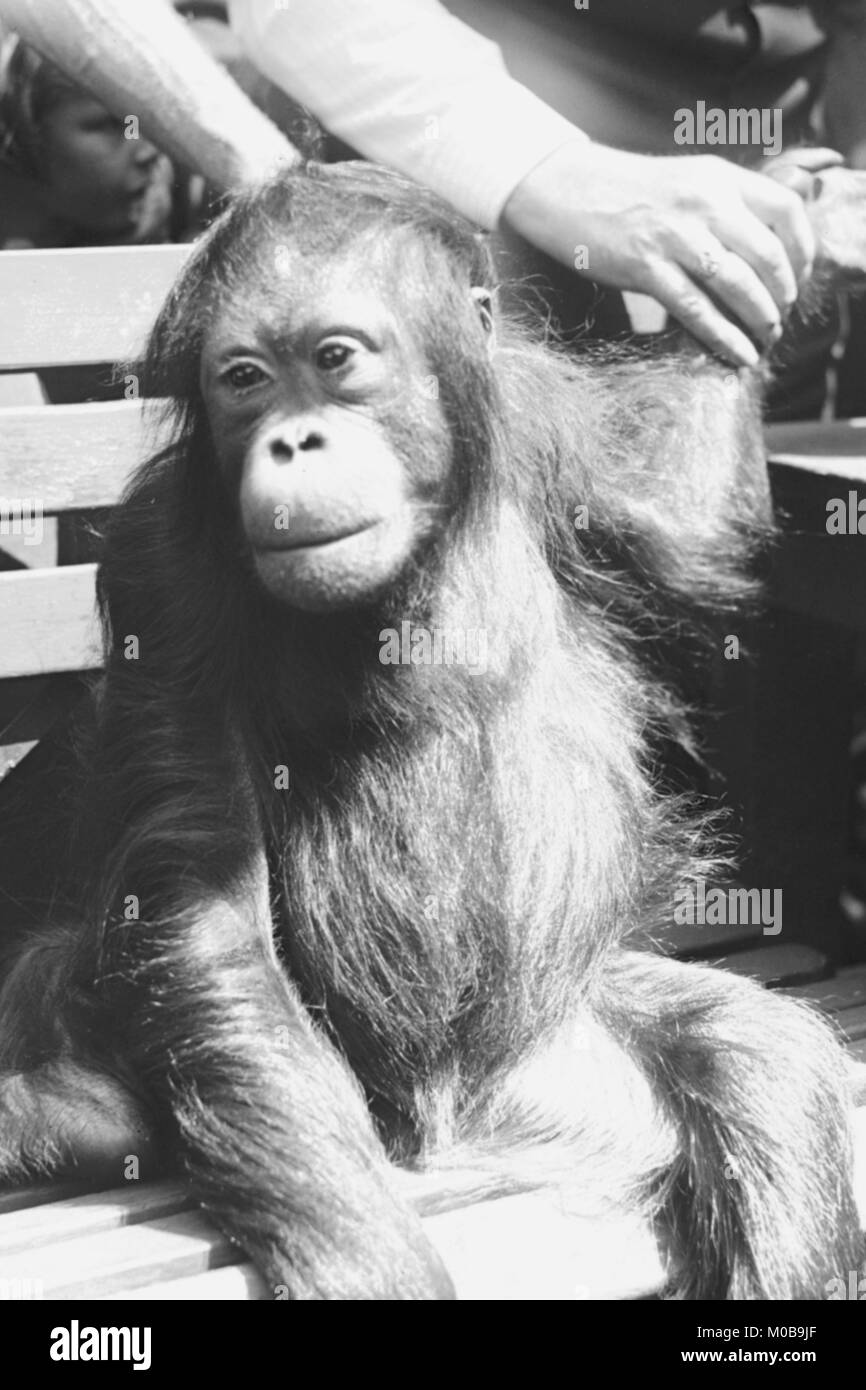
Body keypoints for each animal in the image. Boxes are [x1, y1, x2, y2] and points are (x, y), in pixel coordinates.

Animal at [0, 158, 864, 1300]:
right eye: (244, 380)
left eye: (333, 362)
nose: (291, 440)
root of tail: (460, 1135)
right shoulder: (162, 567)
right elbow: (206, 910)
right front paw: (377, 1270)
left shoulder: (548, 425)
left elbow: (678, 511)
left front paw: (783, 220)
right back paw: (66, 1114)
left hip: (559, 1047)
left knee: (760, 1053)